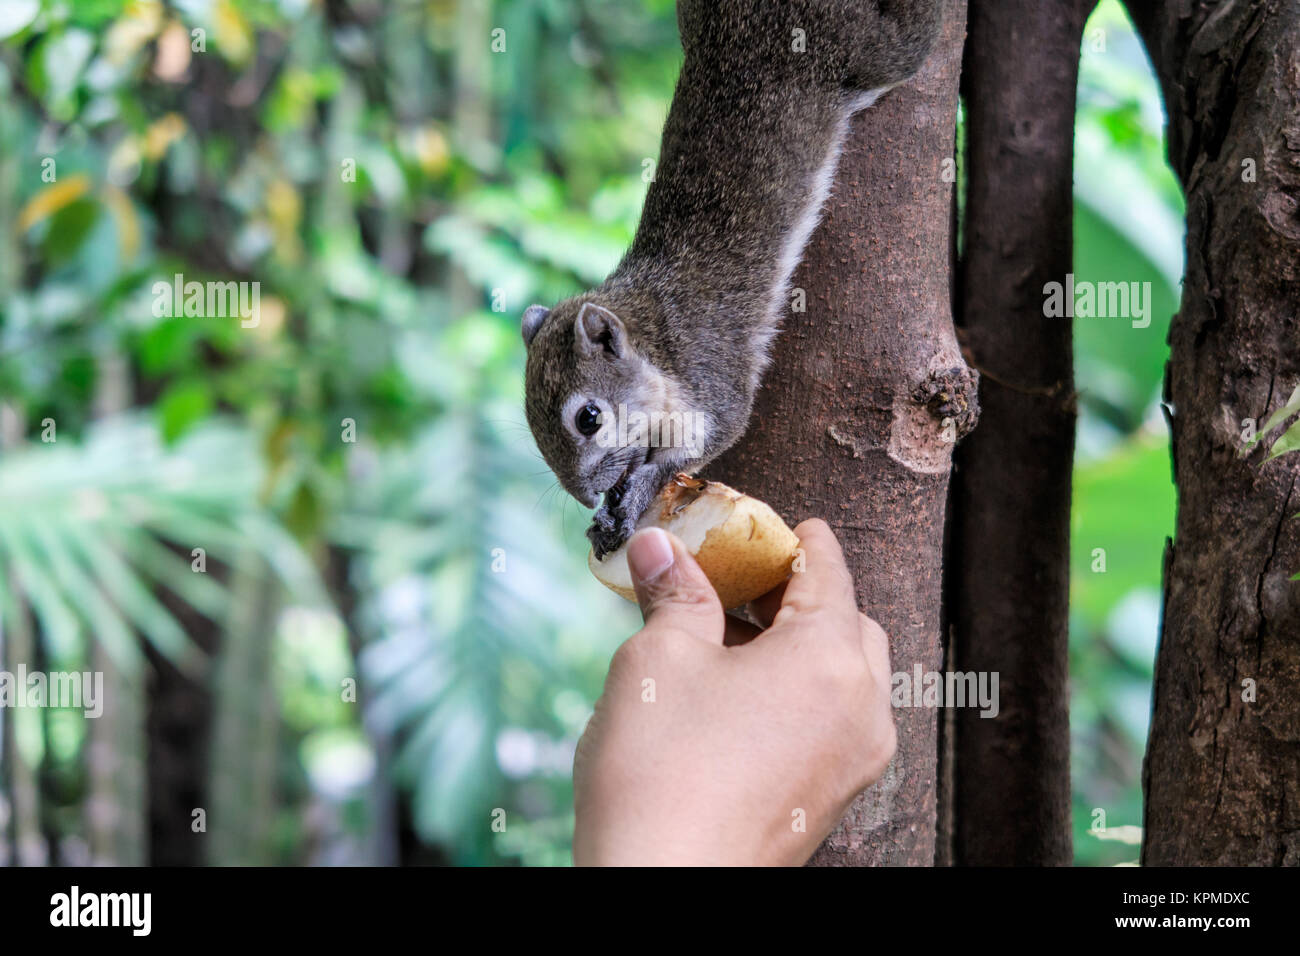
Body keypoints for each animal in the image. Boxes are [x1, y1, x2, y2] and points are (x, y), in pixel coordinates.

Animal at [523, 0, 942, 559]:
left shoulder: (711, 372)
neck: (655, 337)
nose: (586, 496)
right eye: (530, 418)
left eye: (588, 417)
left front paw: (634, 496)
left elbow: (714, 435)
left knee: (910, 40)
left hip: (869, 50)